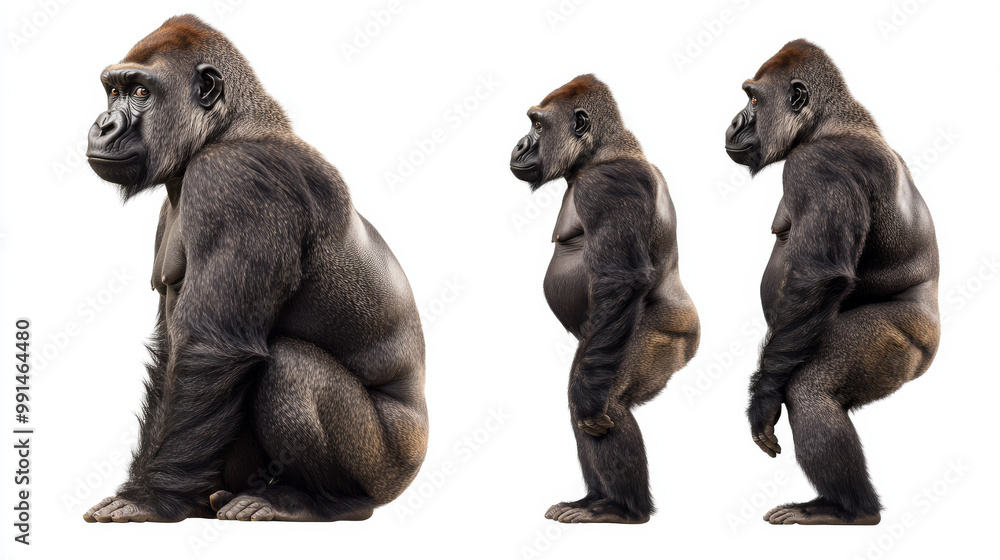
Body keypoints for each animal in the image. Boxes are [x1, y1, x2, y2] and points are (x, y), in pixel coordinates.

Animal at [81, 14, 428, 523]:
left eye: (141, 92)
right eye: (112, 90)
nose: (103, 125)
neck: (227, 125)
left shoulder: (238, 181)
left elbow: (211, 347)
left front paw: (148, 497)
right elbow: (175, 352)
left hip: (392, 467)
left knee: (290, 368)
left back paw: (320, 501)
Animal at [509, 74, 700, 524]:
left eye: (537, 125)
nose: (520, 144)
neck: (599, 151)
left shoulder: (609, 185)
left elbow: (622, 280)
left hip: (667, 340)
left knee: (601, 403)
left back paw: (622, 509)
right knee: (582, 388)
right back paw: (594, 499)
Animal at [725, 39, 940, 525]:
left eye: (753, 100)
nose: (734, 121)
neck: (828, 123)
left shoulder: (818, 166)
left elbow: (819, 278)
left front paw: (761, 401)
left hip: (903, 346)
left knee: (811, 391)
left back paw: (848, 510)